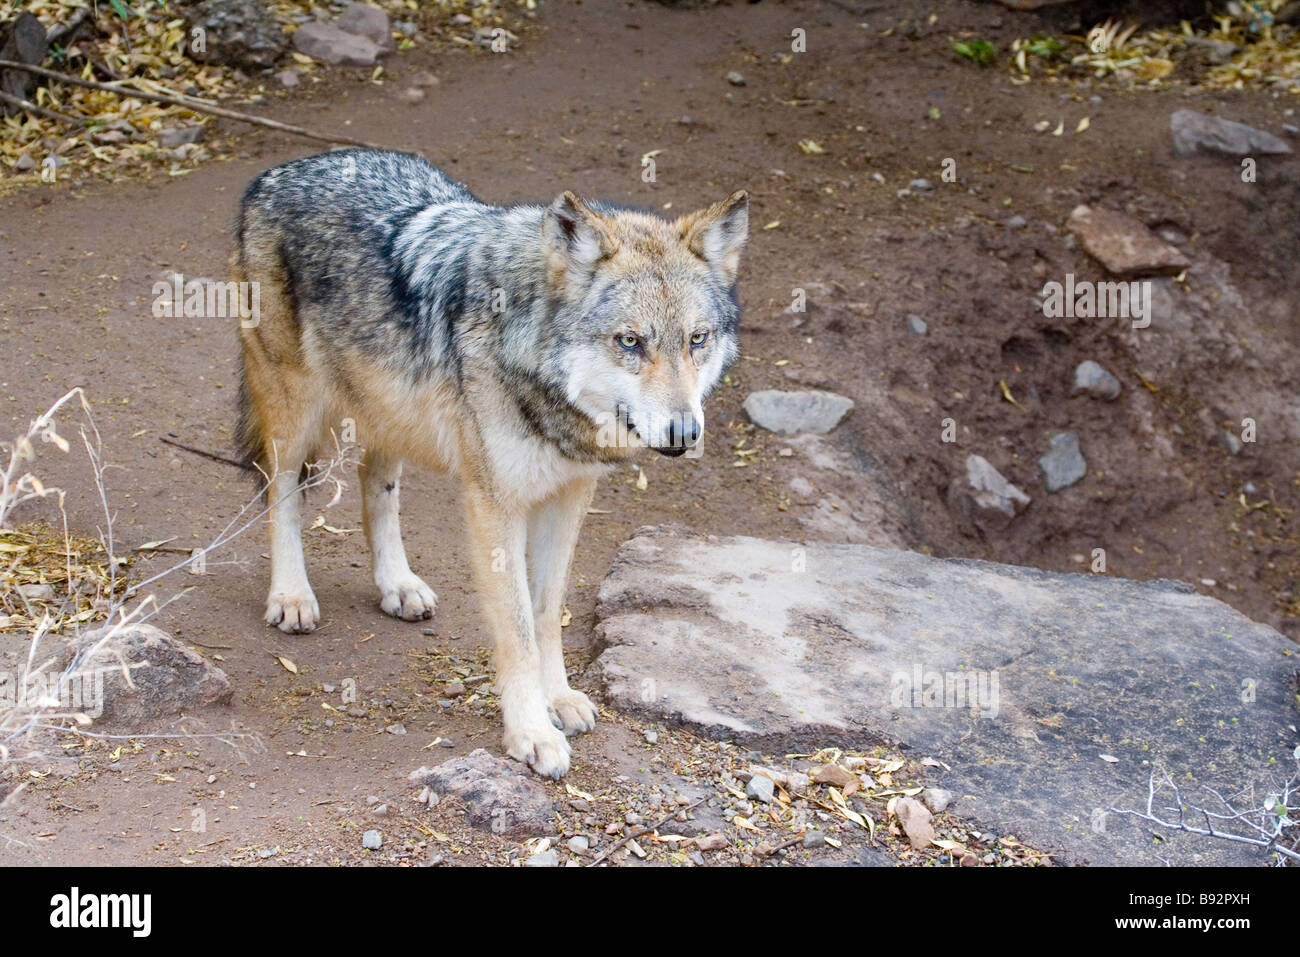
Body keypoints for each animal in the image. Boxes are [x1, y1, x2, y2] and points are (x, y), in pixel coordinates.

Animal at [233, 149, 747, 778]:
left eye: (697, 339)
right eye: (630, 341)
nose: (684, 433)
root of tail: (279, 170)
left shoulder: (570, 494)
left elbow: (548, 611)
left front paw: (558, 699)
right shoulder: (496, 503)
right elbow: (518, 627)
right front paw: (531, 731)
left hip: (388, 406)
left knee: (373, 482)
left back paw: (397, 585)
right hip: (296, 409)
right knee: (277, 490)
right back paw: (290, 596)